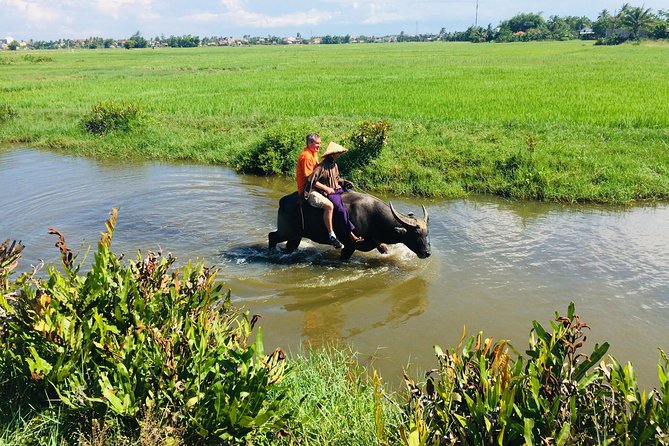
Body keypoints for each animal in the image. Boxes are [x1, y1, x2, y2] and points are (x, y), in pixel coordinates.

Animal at [268, 191, 431, 260]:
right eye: (416, 233)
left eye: (427, 233)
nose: (427, 252)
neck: (374, 218)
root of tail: (283, 200)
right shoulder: (349, 246)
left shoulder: (376, 242)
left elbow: (384, 249)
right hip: (286, 232)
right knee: (272, 236)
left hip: (296, 236)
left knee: (290, 246)